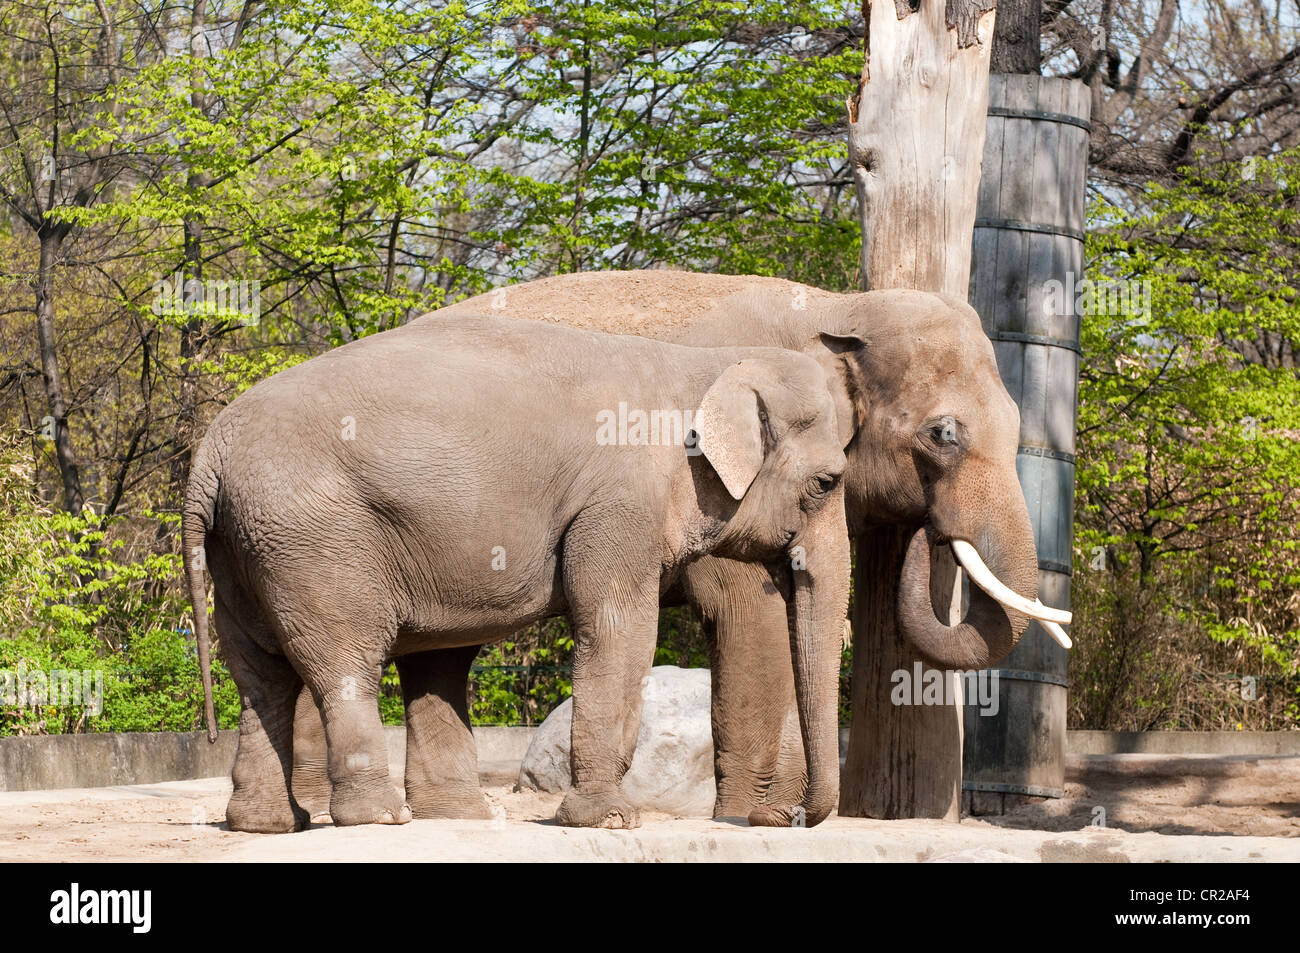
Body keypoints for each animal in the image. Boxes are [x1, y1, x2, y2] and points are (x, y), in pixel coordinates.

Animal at [184, 311, 855, 832]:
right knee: (343, 660)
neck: (703, 362)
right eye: (827, 483)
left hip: (245, 545)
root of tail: (210, 453)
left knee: (264, 673)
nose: (779, 816)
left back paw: (279, 823)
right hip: (313, 537)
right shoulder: (619, 502)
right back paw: (381, 818)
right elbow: (617, 627)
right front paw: (609, 822)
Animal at [286, 271, 1072, 823]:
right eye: (943, 434)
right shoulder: (707, 478)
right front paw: (751, 814)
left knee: (437, 650)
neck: (838, 306)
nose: (925, 532)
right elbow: (752, 612)